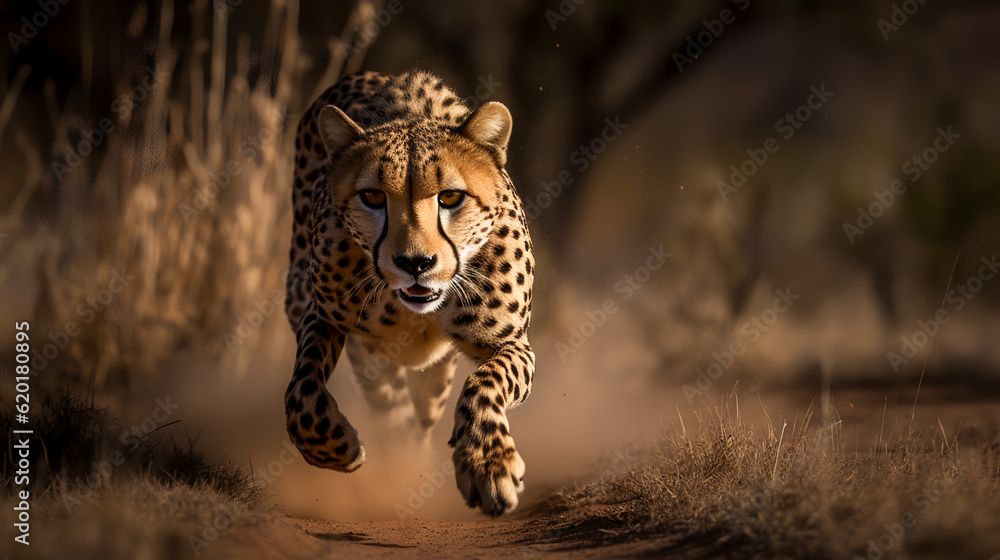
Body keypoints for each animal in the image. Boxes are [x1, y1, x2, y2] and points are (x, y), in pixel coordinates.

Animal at [283, 69, 535, 517]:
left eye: (450, 196)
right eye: (372, 196)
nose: (415, 263)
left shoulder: (510, 342)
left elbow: (486, 381)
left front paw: (488, 463)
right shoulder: (321, 316)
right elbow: (301, 391)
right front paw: (336, 447)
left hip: (433, 377)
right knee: (391, 411)